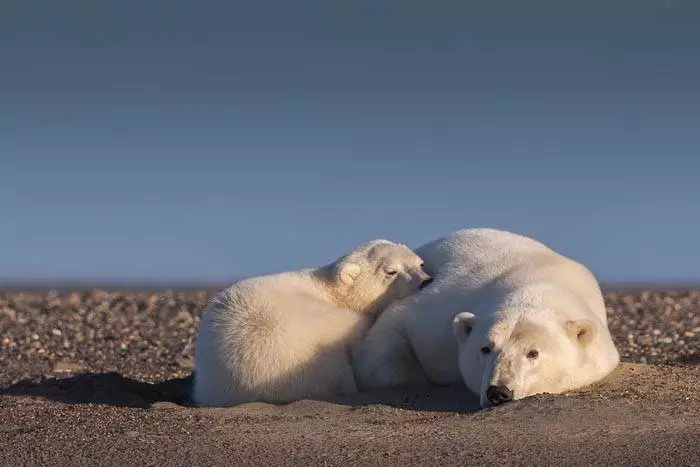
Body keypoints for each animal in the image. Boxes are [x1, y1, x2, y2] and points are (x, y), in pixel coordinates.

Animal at [356, 229, 616, 408]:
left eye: (533, 353)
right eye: (486, 348)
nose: (499, 392)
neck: (536, 282)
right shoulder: (438, 310)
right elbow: (394, 325)